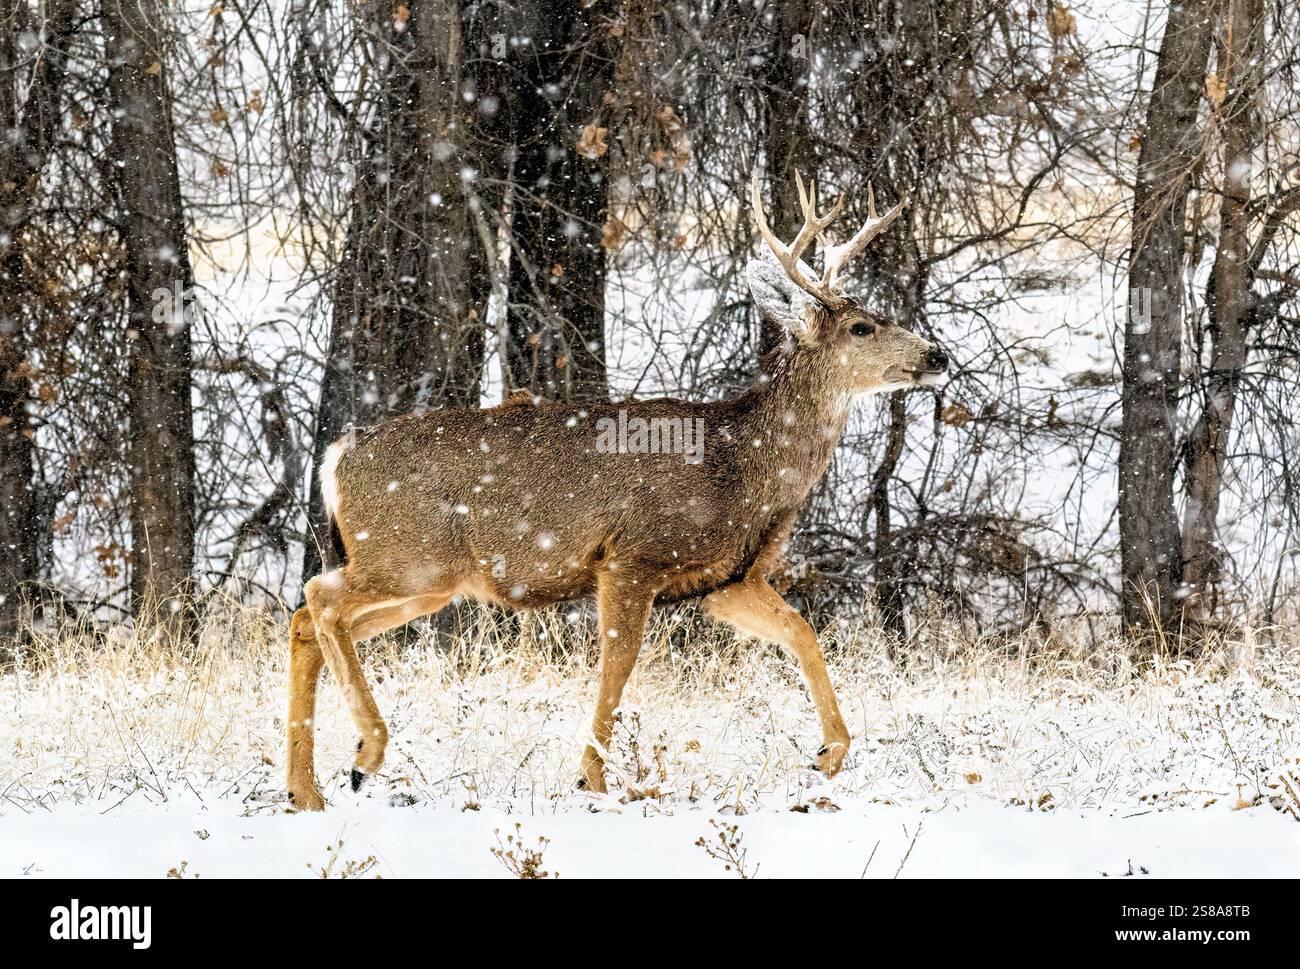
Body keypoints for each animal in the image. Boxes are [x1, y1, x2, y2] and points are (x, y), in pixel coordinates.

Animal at [285, 173, 948, 810]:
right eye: (862, 327)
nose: (937, 354)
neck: (742, 470)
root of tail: (338, 456)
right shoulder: (632, 558)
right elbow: (618, 667)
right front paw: (594, 782)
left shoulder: (724, 579)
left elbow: (800, 631)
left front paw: (827, 757)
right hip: (408, 555)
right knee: (318, 598)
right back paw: (365, 755)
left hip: (428, 580)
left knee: (304, 622)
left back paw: (307, 792)